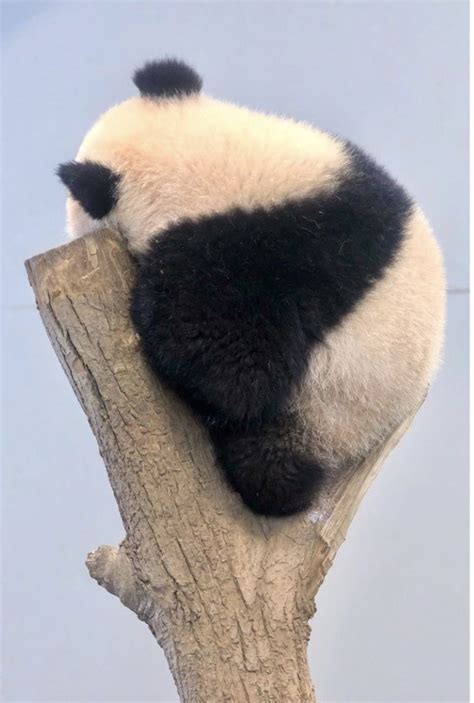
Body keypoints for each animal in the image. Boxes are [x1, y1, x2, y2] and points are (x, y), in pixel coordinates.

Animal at [57, 58, 445, 517]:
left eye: (78, 213)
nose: (67, 233)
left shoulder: (257, 258)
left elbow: (239, 377)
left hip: (324, 411)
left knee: (269, 467)